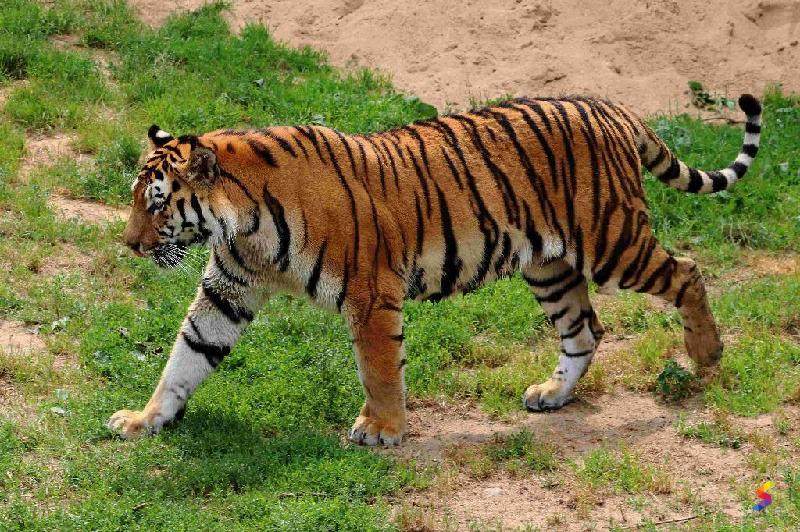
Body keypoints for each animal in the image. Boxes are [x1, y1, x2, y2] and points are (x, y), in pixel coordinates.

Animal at [110, 94, 762, 446]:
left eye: (158, 203)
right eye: (138, 199)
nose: (130, 244)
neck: (244, 226)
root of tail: (611, 107)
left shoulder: (370, 294)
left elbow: (378, 369)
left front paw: (382, 428)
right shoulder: (229, 290)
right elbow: (186, 357)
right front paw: (145, 420)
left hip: (612, 242)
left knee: (687, 271)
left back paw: (706, 354)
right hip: (550, 266)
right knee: (584, 331)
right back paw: (552, 394)